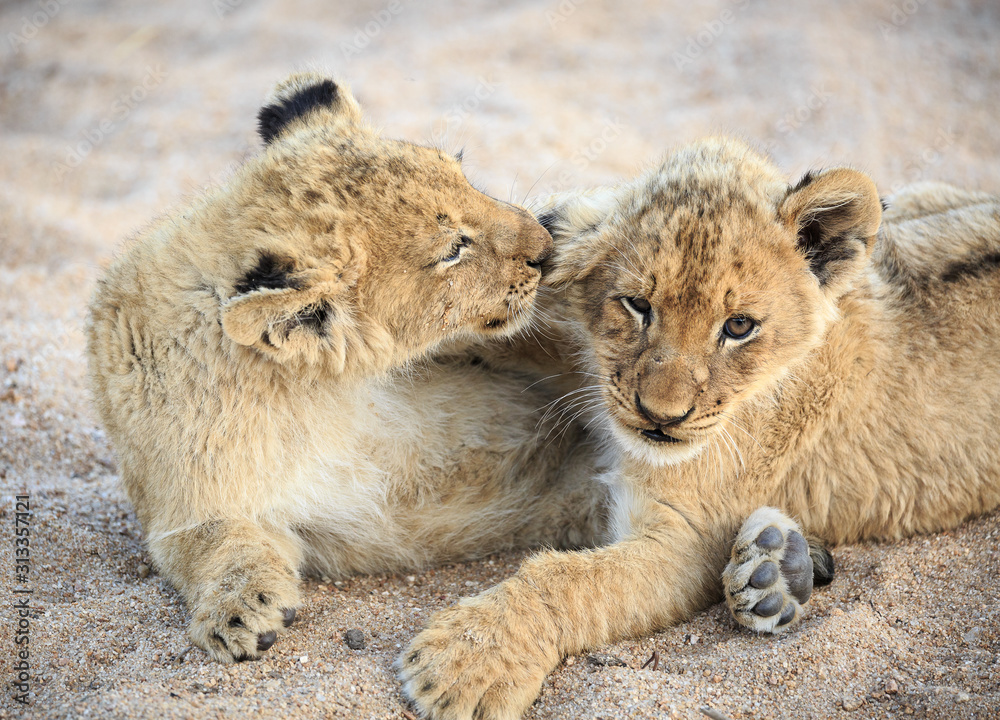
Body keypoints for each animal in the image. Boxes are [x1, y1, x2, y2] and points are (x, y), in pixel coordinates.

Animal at [86, 72, 608, 663]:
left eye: (462, 170)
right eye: (453, 249)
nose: (544, 247)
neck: (313, 387)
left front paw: (585, 228)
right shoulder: (182, 498)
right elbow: (213, 545)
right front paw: (239, 612)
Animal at [398, 137, 1000, 719]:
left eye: (739, 326)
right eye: (637, 304)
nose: (660, 417)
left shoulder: (688, 541)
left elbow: (569, 582)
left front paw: (465, 661)